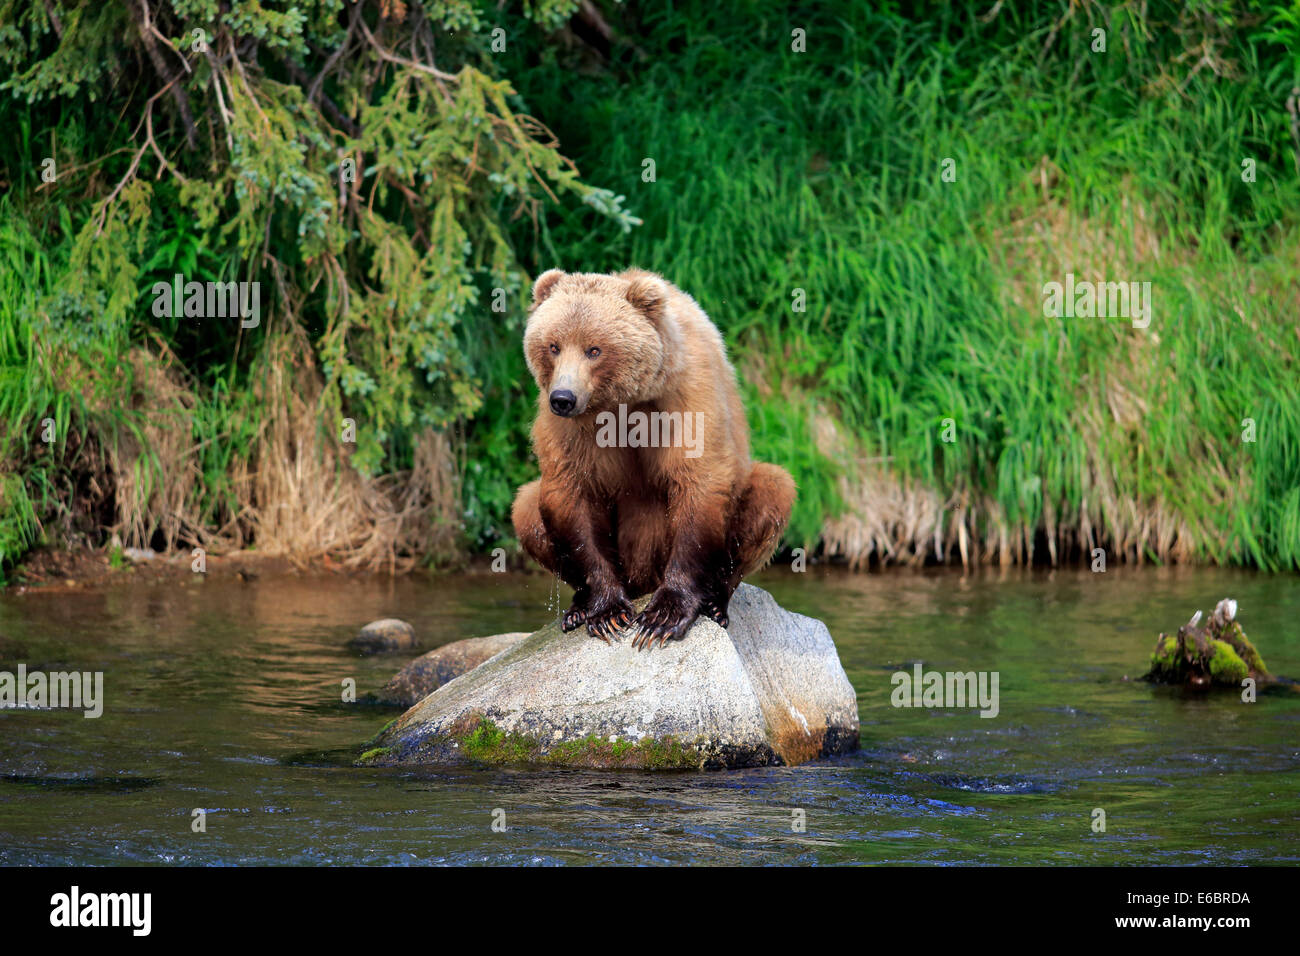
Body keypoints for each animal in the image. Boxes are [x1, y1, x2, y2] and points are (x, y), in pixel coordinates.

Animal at [511, 268, 796, 649]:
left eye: (594, 349)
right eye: (553, 346)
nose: (563, 397)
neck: (624, 403)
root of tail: (641, 579)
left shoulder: (685, 397)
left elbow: (699, 483)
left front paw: (663, 616)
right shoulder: (570, 432)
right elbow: (571, 496)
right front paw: (607, 613)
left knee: (773, 489)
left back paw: (716, 602)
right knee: (527, 506)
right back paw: (576, 609)